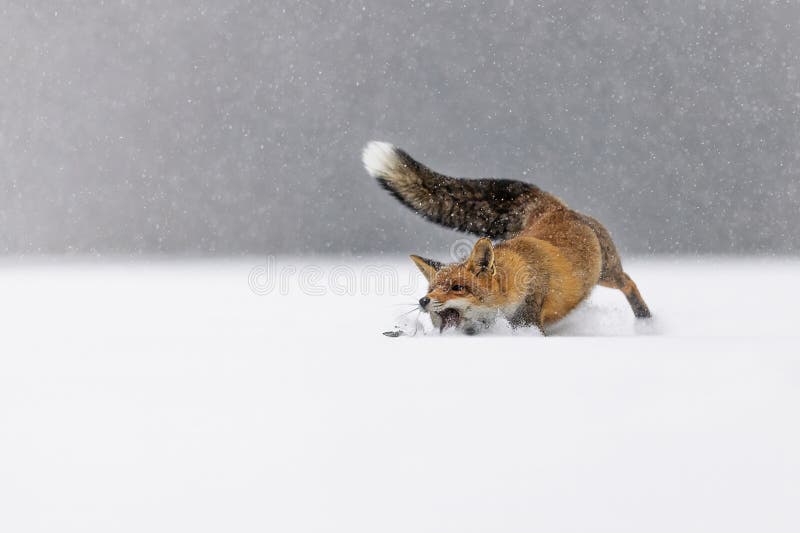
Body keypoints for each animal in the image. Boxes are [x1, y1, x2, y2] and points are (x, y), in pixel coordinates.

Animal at [362, 141, 652, 335]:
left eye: (458, 287)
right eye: (430, 290)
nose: (424, 301)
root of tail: (553, 209)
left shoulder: (529, 322)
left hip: (607, 273)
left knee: (629, 283)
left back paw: (645, 320)